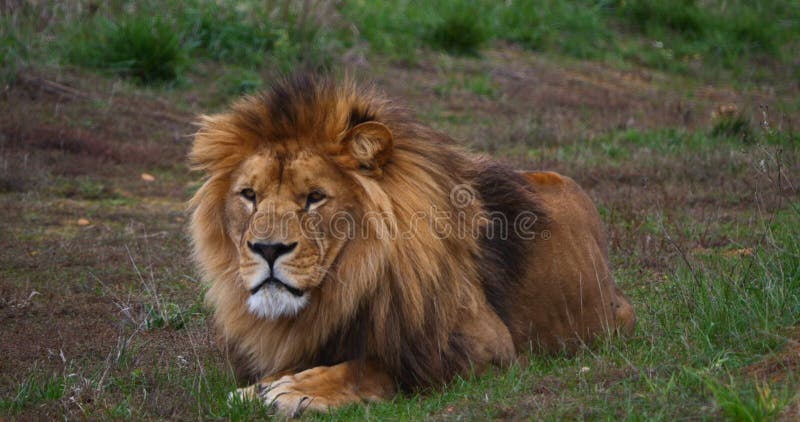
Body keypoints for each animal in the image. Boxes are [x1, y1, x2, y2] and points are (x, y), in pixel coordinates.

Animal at [188, 74, 634, 416]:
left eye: (315, 197)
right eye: (249, 195)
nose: (267, 249)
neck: (348, 282)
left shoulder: (486, 346)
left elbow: (375, 366)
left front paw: (294, 390)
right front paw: (258, 389)